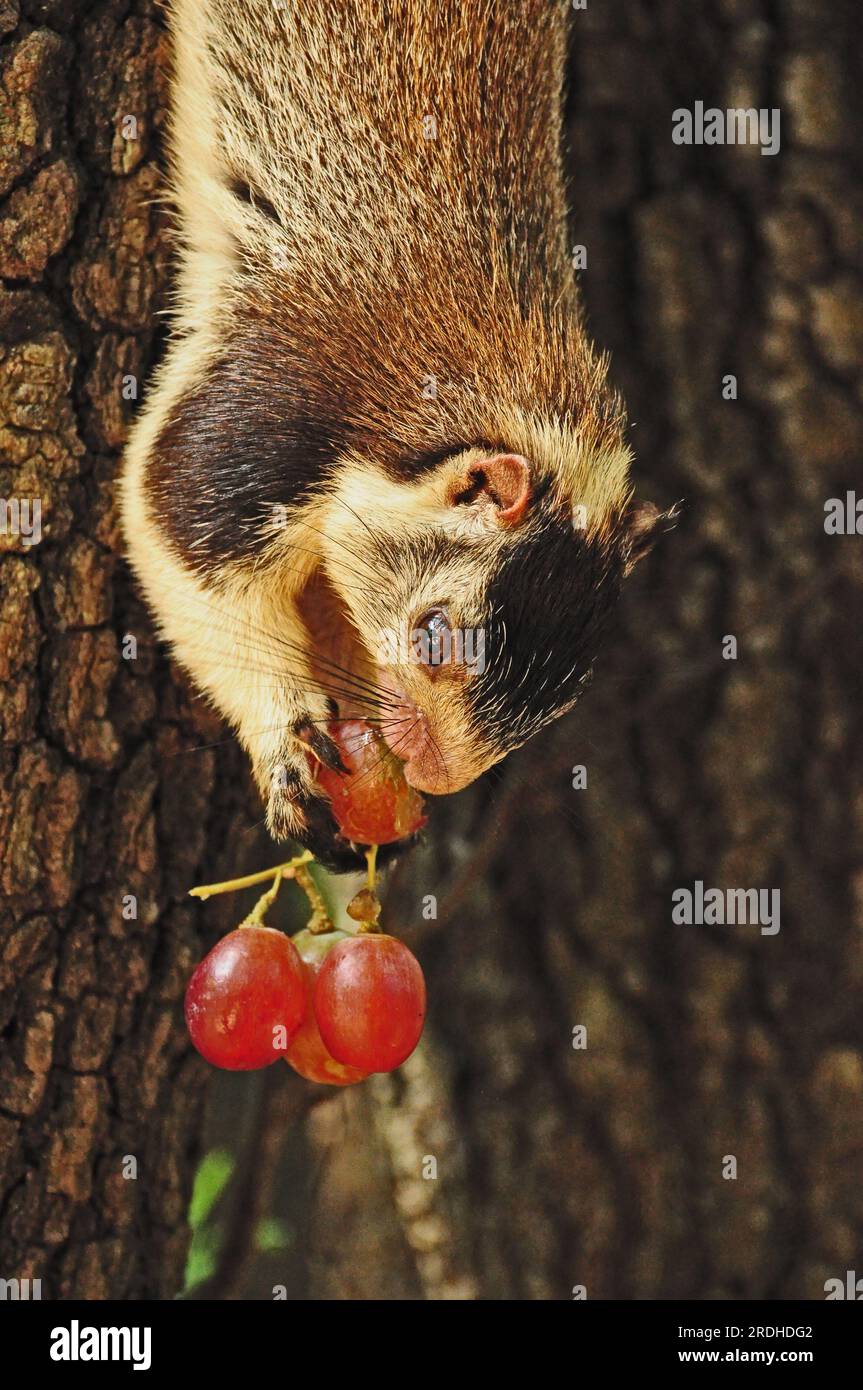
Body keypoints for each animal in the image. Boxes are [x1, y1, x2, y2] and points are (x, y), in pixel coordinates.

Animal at [120, 0, 671, 871]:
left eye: (566, 699)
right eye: (433, 636)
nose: (433, 776)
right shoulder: (260, 422)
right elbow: (188, 560)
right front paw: (285, 744)